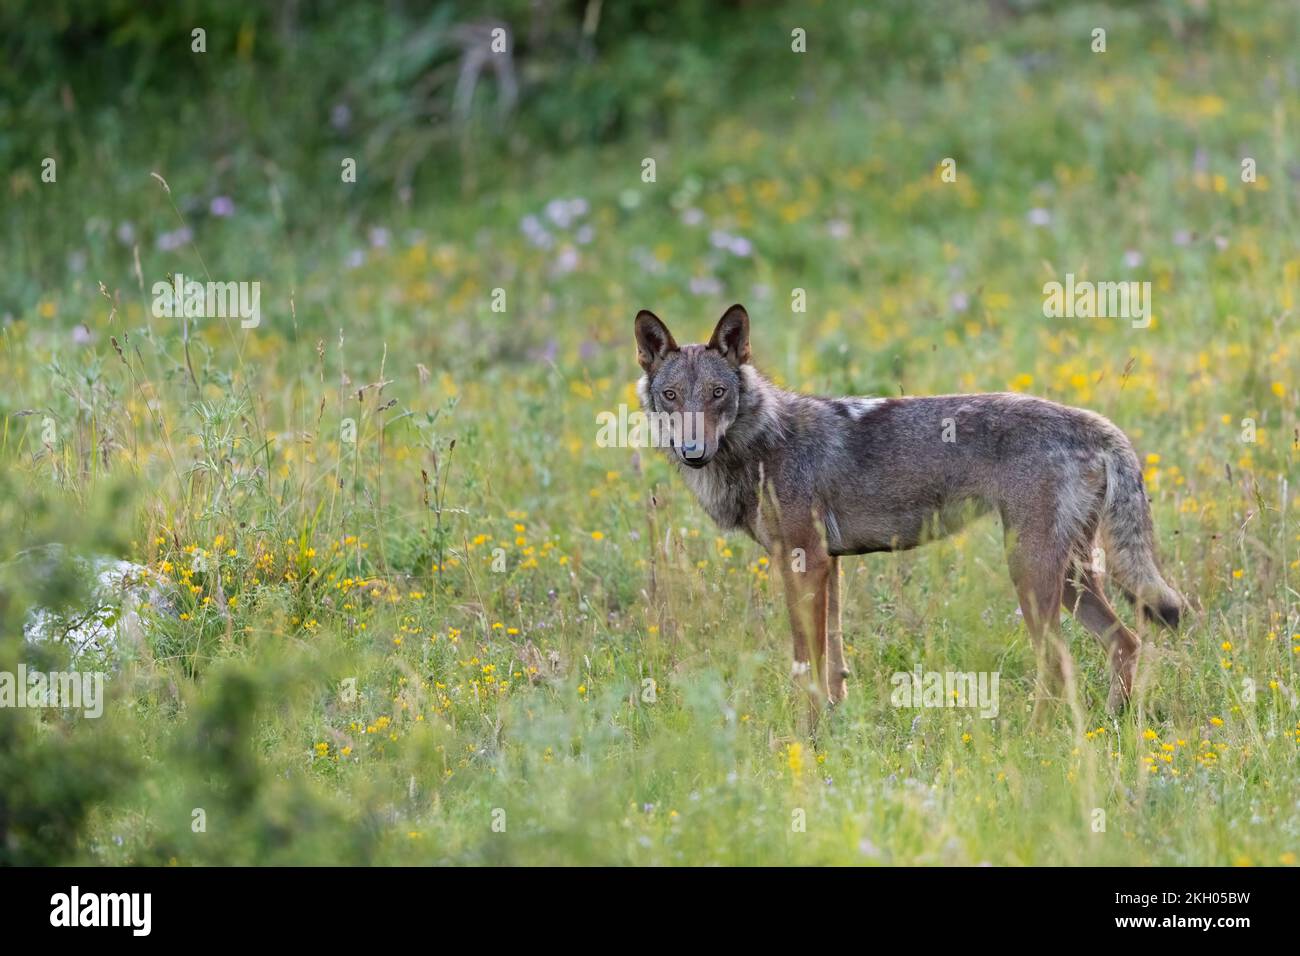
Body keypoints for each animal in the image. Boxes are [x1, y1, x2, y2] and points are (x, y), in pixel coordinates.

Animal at [634, 304, 1185, 717]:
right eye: (671, 396)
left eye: (717, 394)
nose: (692, 451)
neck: (762, 444)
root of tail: (1094, 421)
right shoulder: (828, 565)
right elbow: (834, 665)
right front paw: (835, 727)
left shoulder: (805, 562)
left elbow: (807, 665)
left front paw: (807, 738)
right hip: (1070, 577)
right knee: (1126, 642)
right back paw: (1112, 723)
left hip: (1031, 574)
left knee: (1057, 665)